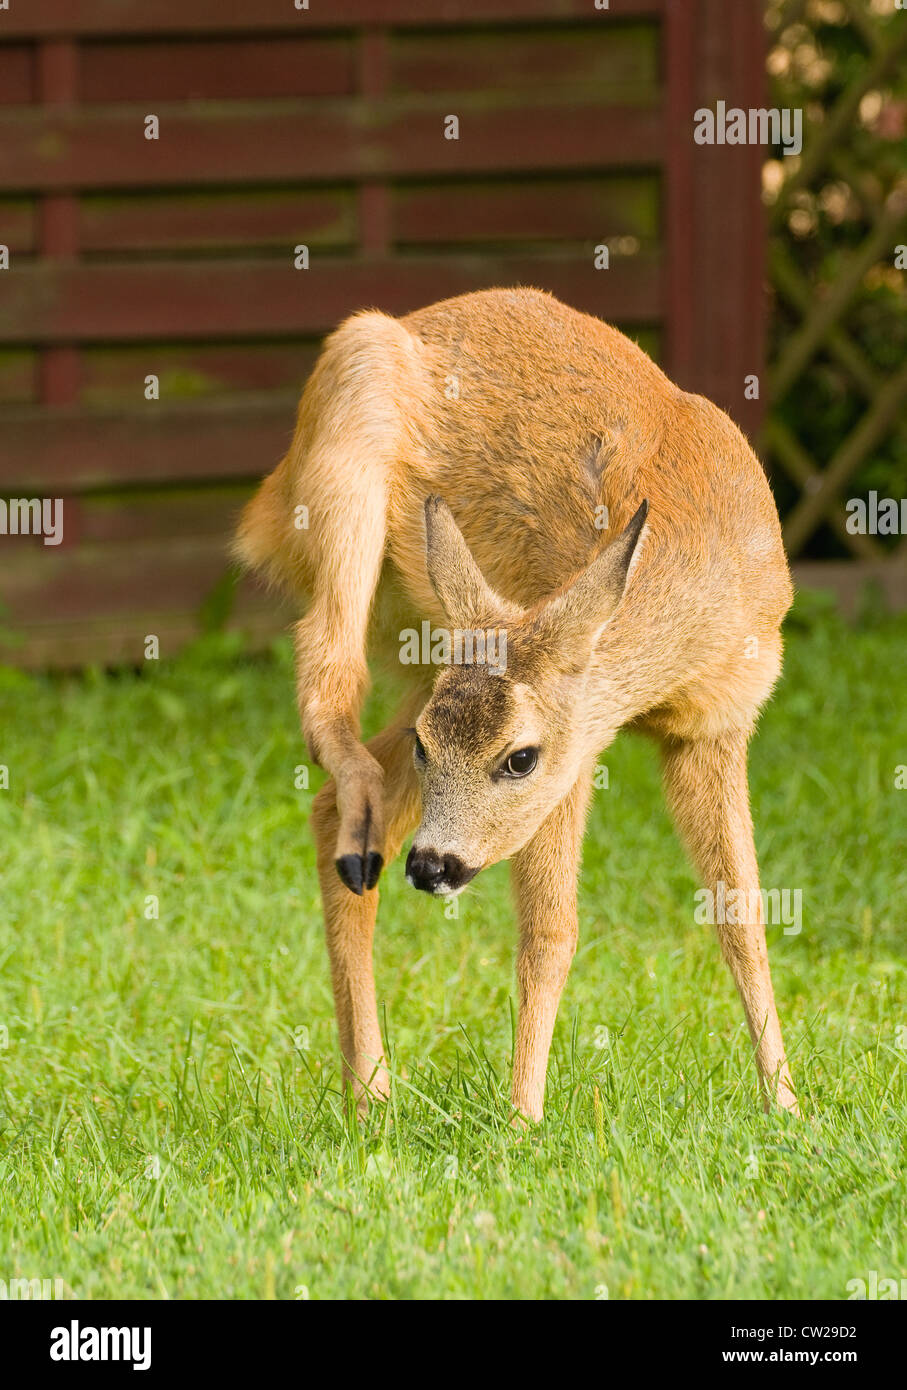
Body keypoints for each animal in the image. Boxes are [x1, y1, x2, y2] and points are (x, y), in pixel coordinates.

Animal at [235, 287, 799, 1123]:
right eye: (432, 749)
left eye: (518, 756)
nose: (432, 866)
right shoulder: (582, 752)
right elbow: (550, 931)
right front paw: (523, 1118)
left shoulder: (714, 725)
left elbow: (742, 913)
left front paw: (787, 1106)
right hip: (343, 454)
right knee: (326, 681)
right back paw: (372, 1086)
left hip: (429, 652)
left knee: (329, 802)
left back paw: (366, 1093)